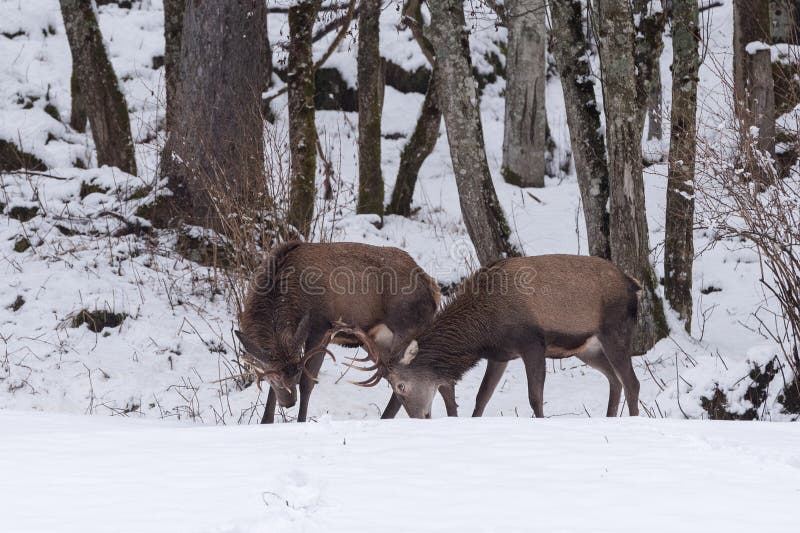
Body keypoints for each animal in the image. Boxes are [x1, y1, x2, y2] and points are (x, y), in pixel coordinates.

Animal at [234, 241, 455, 423]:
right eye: (275, 378)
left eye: (295, 373)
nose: (289, 402)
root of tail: (433, 288)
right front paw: (266, 422)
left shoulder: (321, 327)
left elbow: (308, 382)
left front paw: (301, 420)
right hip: (378, 341)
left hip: (407, 329)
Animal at [346, 254, 643, 419]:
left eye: (400, 385)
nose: (419, 417)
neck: (483, 331)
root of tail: (633, 284)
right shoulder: (500, 355)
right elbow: (482, 397)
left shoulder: (532, 343)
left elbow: (535, 397)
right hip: (588, 348)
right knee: (614, 379)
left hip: (615, 331)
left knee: (632, 382)